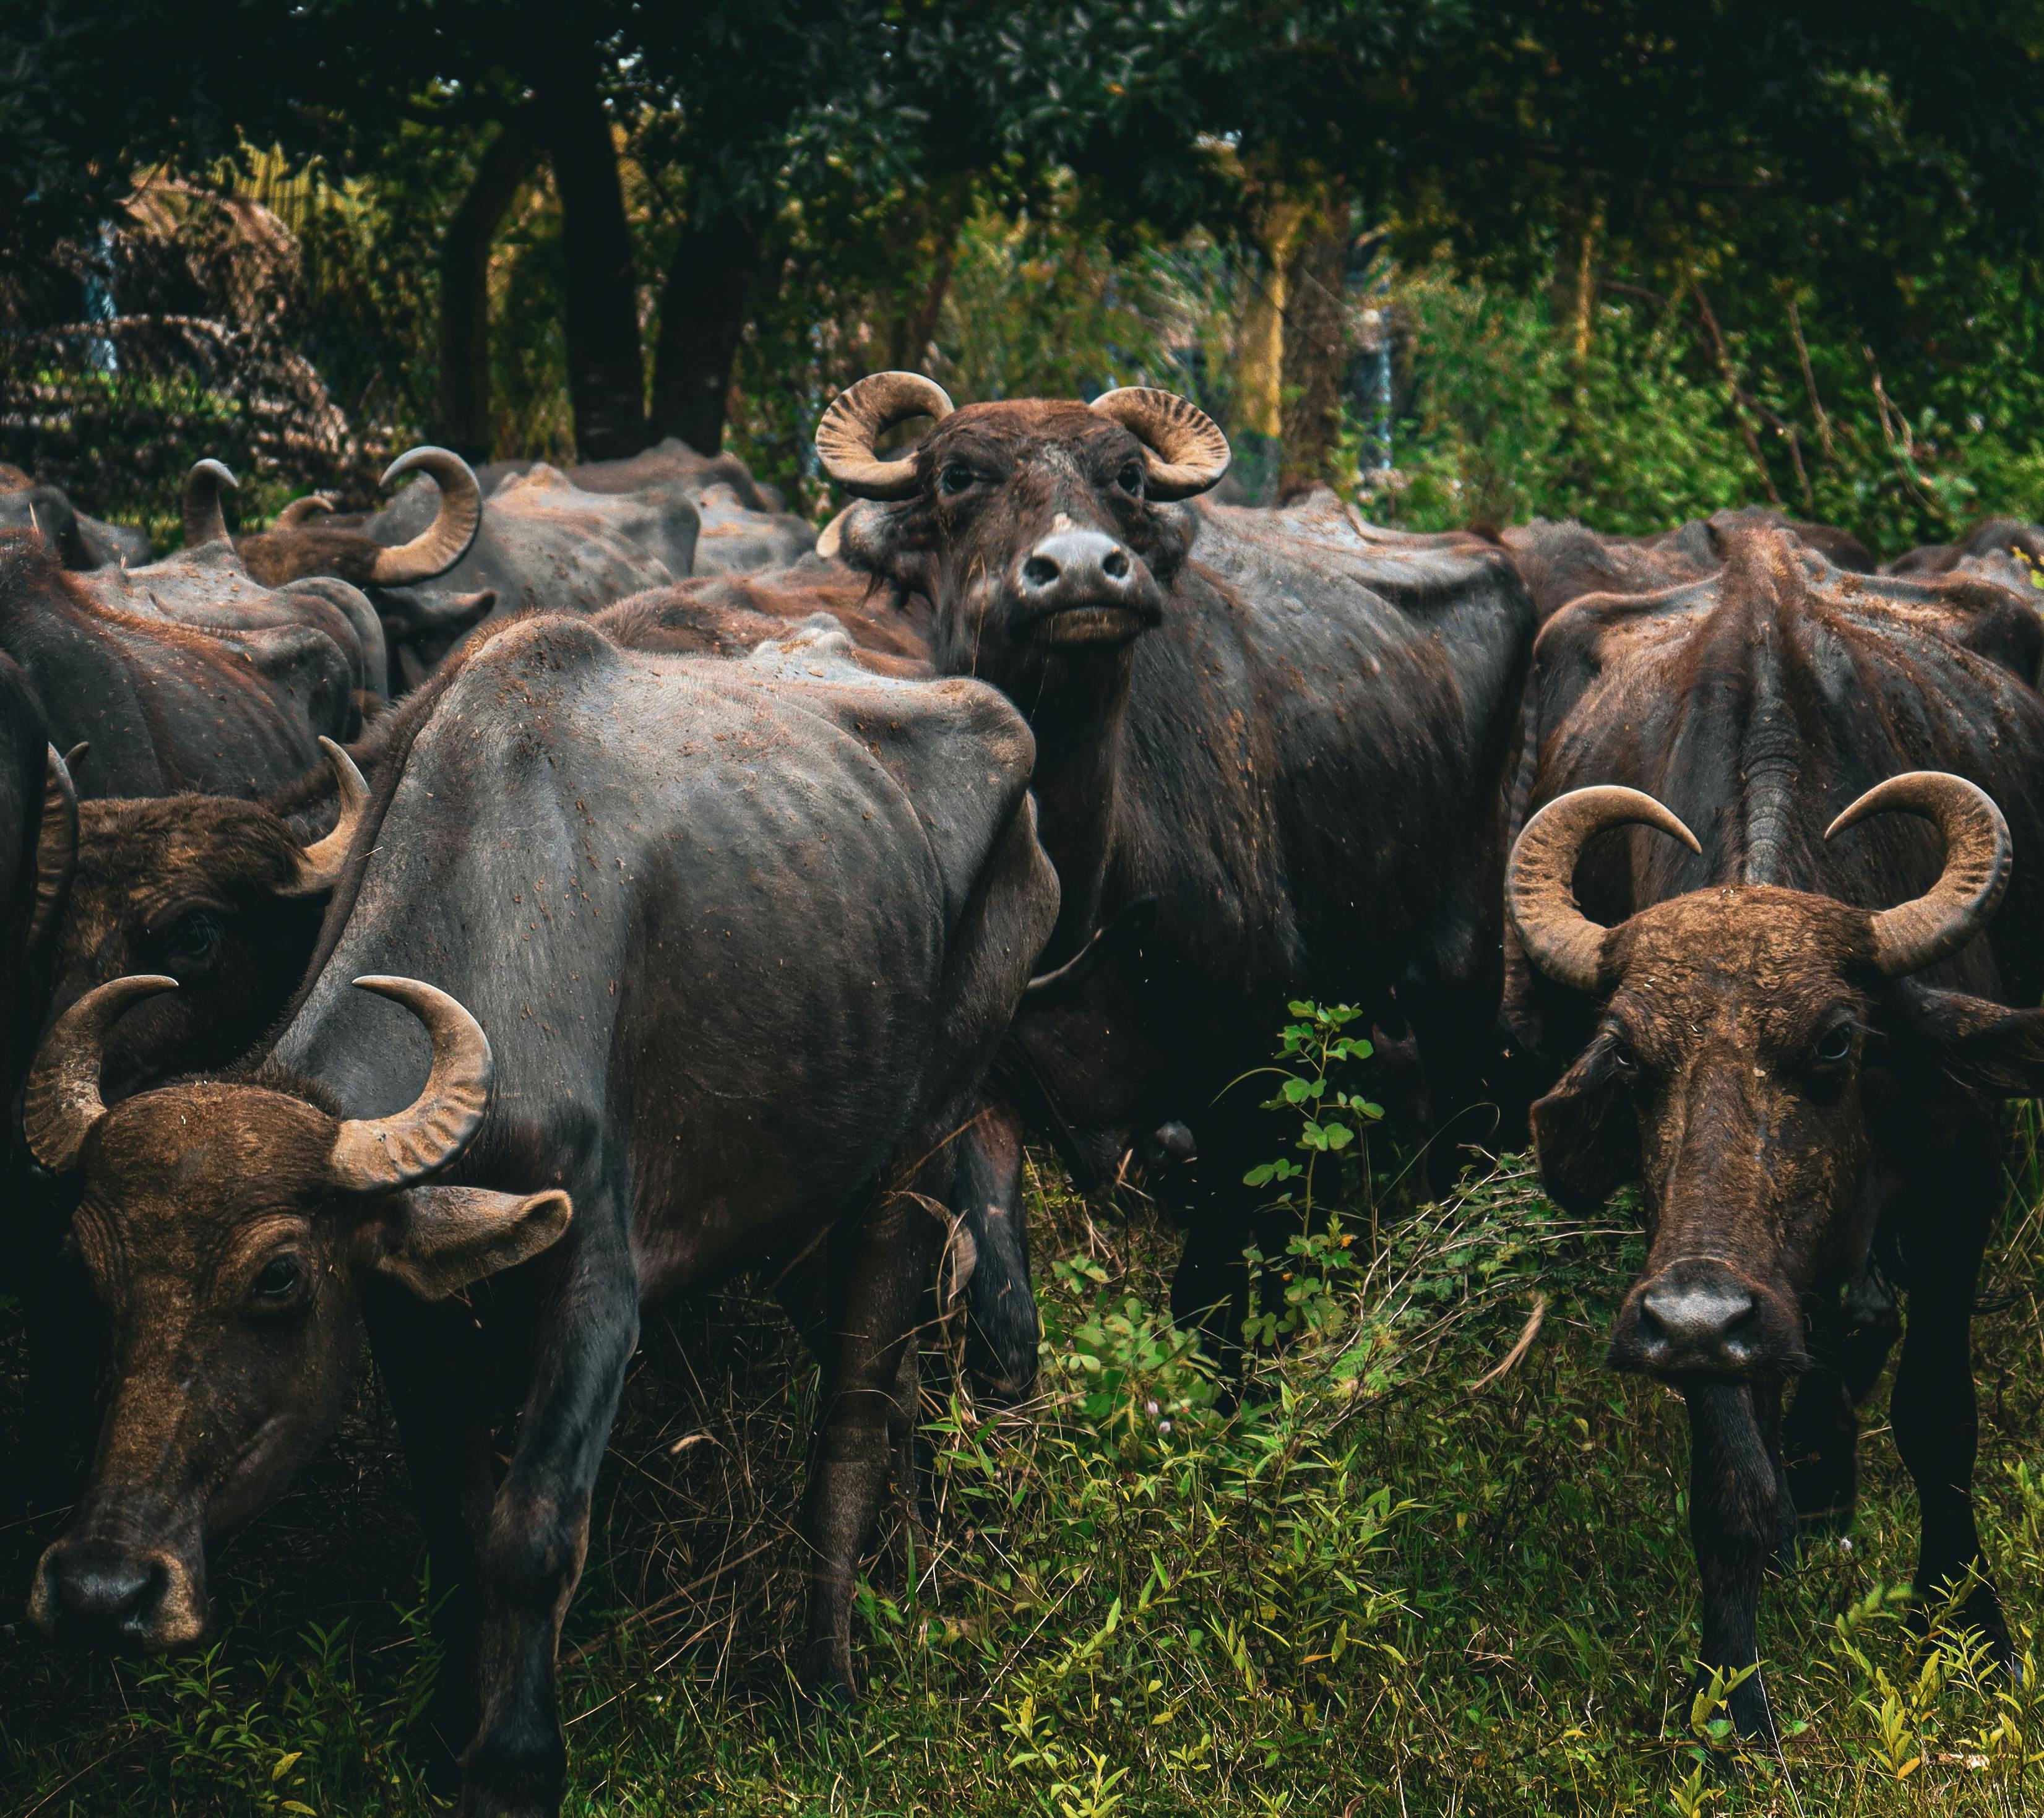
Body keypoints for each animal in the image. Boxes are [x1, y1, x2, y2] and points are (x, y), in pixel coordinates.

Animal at [22, 608, 1059, 1817]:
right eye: (92, 1270)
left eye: (277, 1274)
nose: (102, 1589)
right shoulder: (409, 1304)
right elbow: (456, 1518)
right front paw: (445, 1729)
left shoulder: (595, 1287)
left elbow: (531, 1528)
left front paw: (516, 1760)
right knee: (893, 1375)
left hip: (918, 1138)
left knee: (852, 1402)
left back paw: (826, 1675)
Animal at [815, 372, 1534, 1371]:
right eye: (957, 476)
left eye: (1125, 476)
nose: (1084, 570)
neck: (1084, 909)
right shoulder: (983, 1096)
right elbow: (1005, 1320)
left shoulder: (1254, 1085)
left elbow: (1213, 1307)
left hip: (1460, 963)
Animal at [1502, 524, 2044, 1739]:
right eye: (1628, 1055)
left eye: (1836, 1039)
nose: (1697, 1316)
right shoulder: (1690, 1255)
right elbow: (1727, 1473)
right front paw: (1731, 1701)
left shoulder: (1960, 1181)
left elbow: (1938, 1416)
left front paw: (1963, 1622)